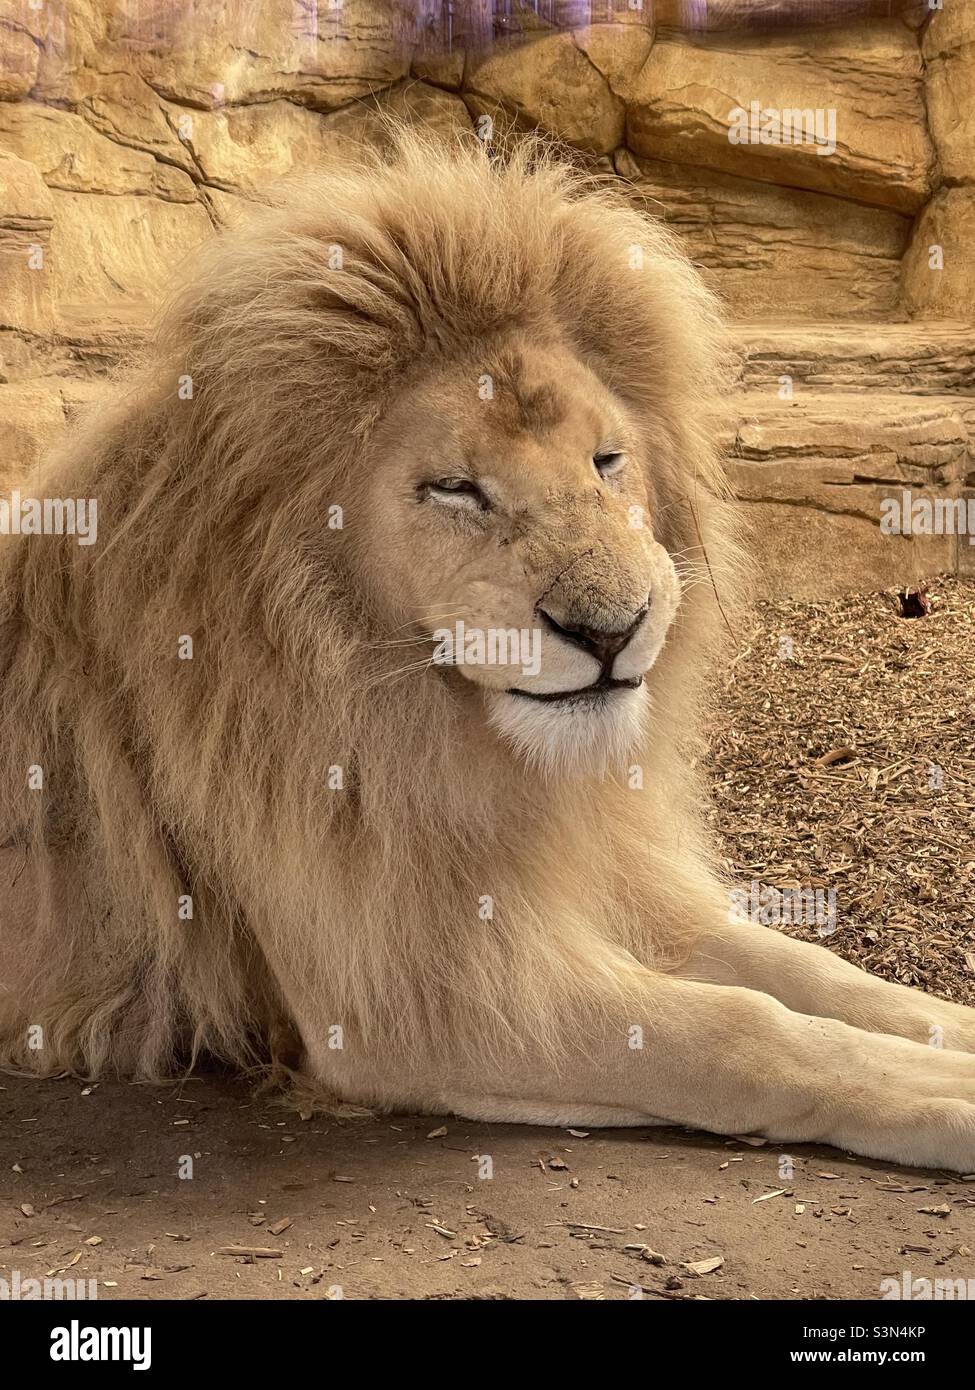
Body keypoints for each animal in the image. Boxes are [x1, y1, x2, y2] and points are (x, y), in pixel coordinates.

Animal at [2, 131, 975, 1171]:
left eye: (606, 462)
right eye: (455, 488)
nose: (612, 628)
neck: (458, 743)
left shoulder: (589, 876)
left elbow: (814, 971)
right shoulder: (408, 1002)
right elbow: (740, 1031)